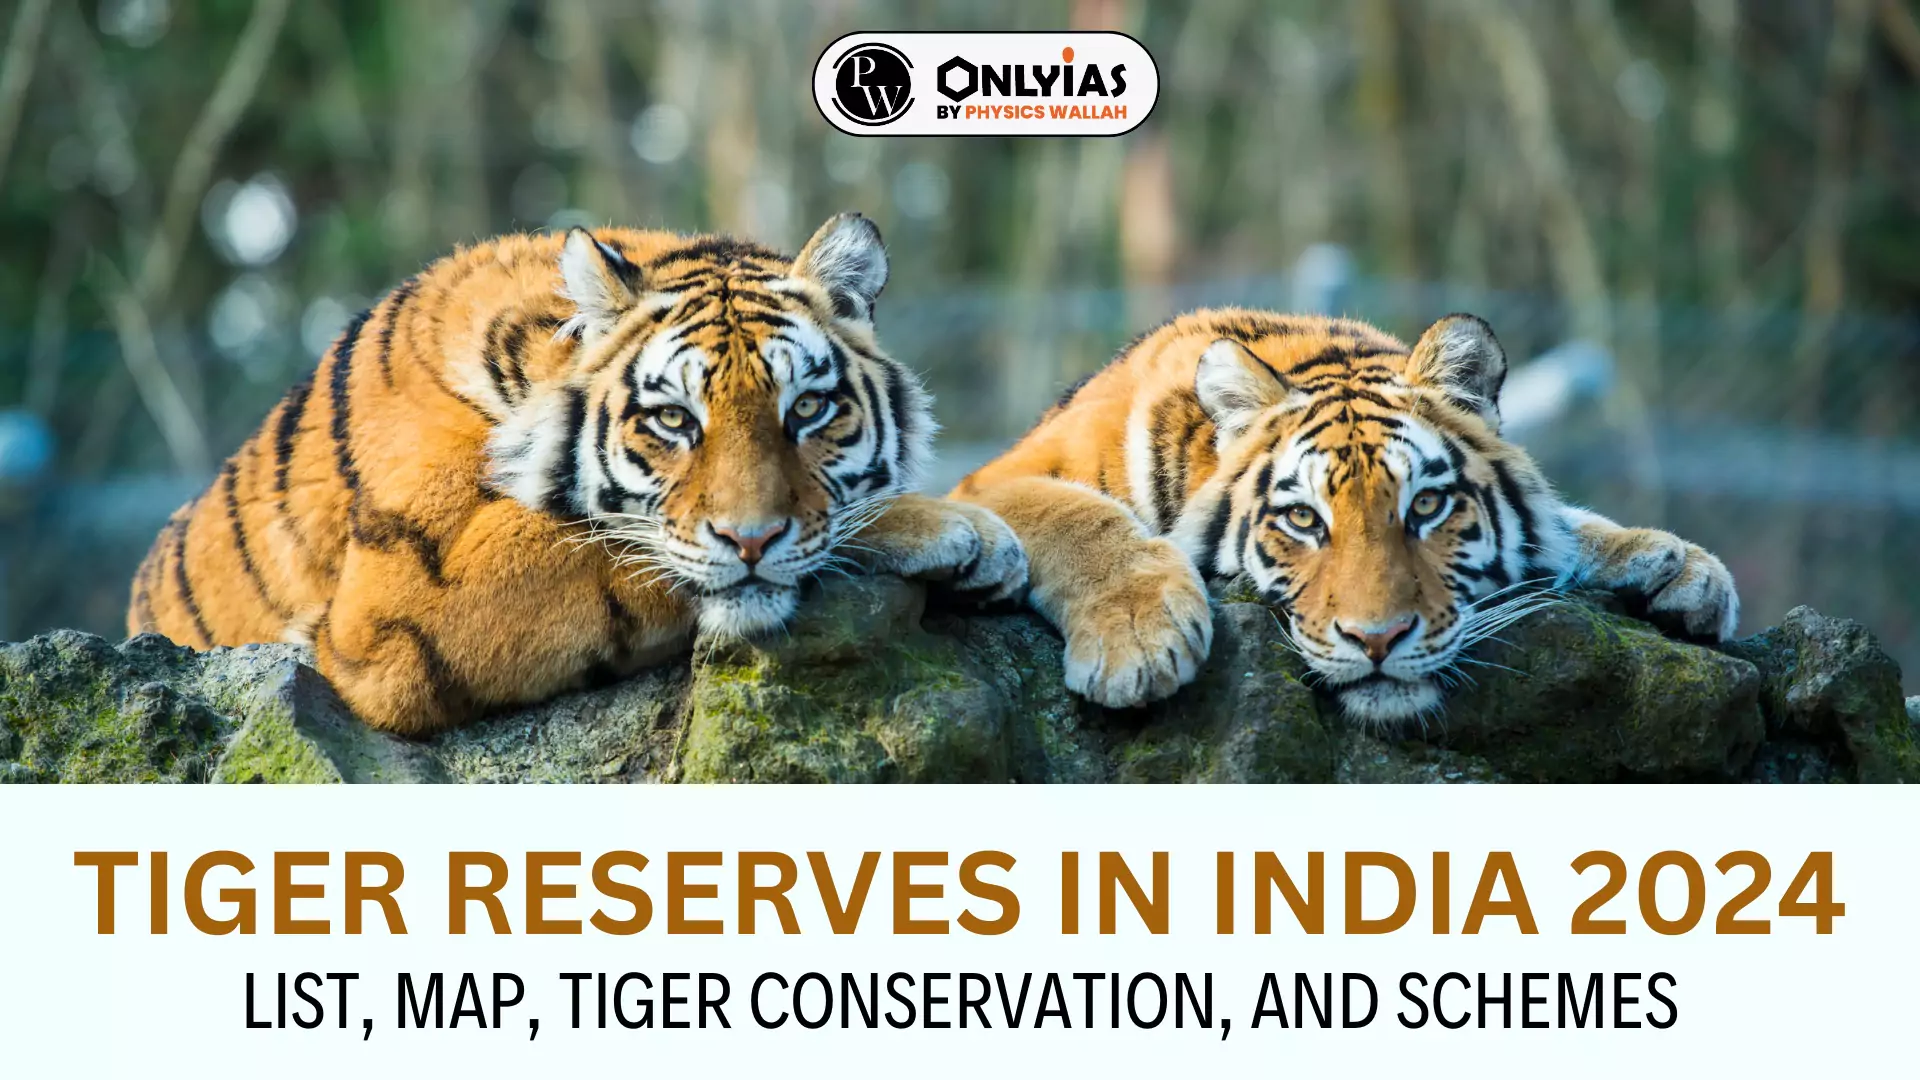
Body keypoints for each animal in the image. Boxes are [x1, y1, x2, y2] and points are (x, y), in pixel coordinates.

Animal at [128, 212, 1027, 735]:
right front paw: (958, 528)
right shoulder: (397, 604)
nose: (751, 541)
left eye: (807, 408)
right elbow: (615, 546)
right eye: (674, 420)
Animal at [950, 310, 1737, 725]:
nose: (1377, 640)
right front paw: (1138, 641)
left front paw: (1680, 566)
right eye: (1303, 520)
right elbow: (1080, 515)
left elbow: (1568, 525)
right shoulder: (989, 482)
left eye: (1426, 505)